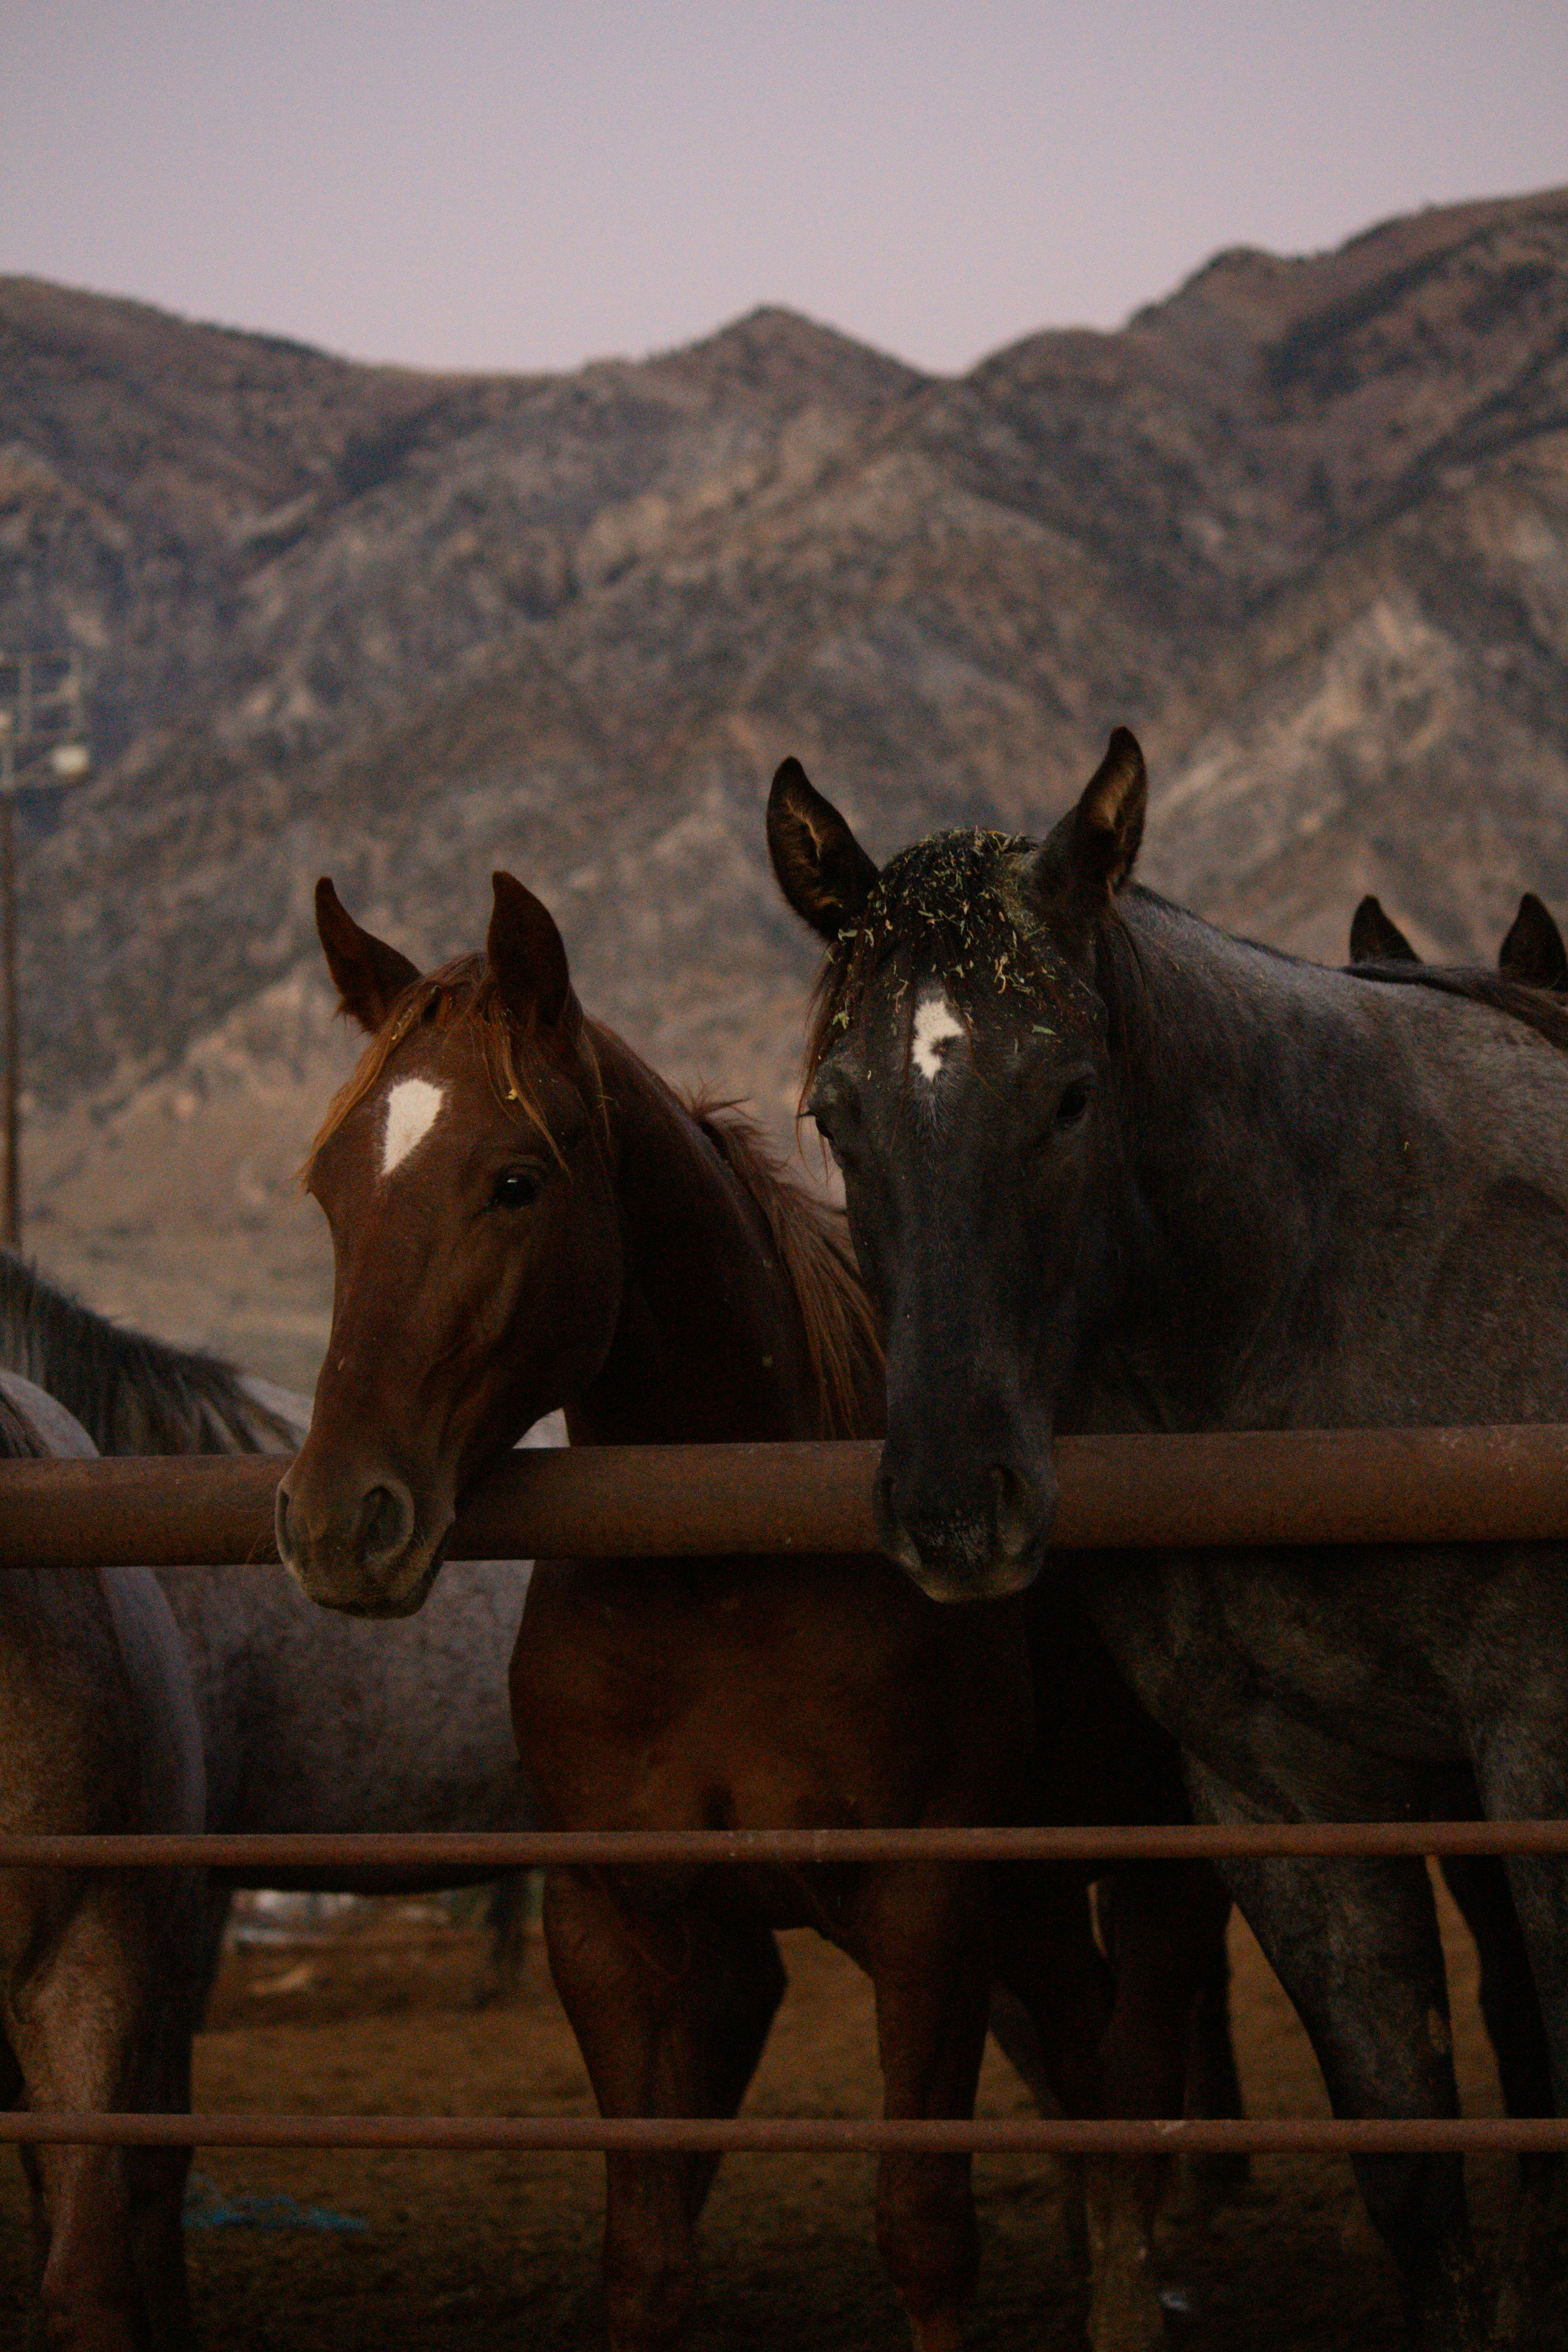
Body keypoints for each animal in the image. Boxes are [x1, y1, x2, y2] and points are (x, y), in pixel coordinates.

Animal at [276, 868, 1244, 2352]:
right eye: (331, 1192)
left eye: (513, 1183)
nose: (340, 1521)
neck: (718, 1579)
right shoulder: (619, 1924)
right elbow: (646, 2257)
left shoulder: (921, 1909)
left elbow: (924, 2237)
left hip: (1145, 1860)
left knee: (1133, 2080)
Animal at [766, 728, 1568, 2349]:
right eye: (836, 1114)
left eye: (1073, 1095)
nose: (953, 1507)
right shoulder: (1276, 1792)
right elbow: (1413, 2182)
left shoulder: (1535, 1751)